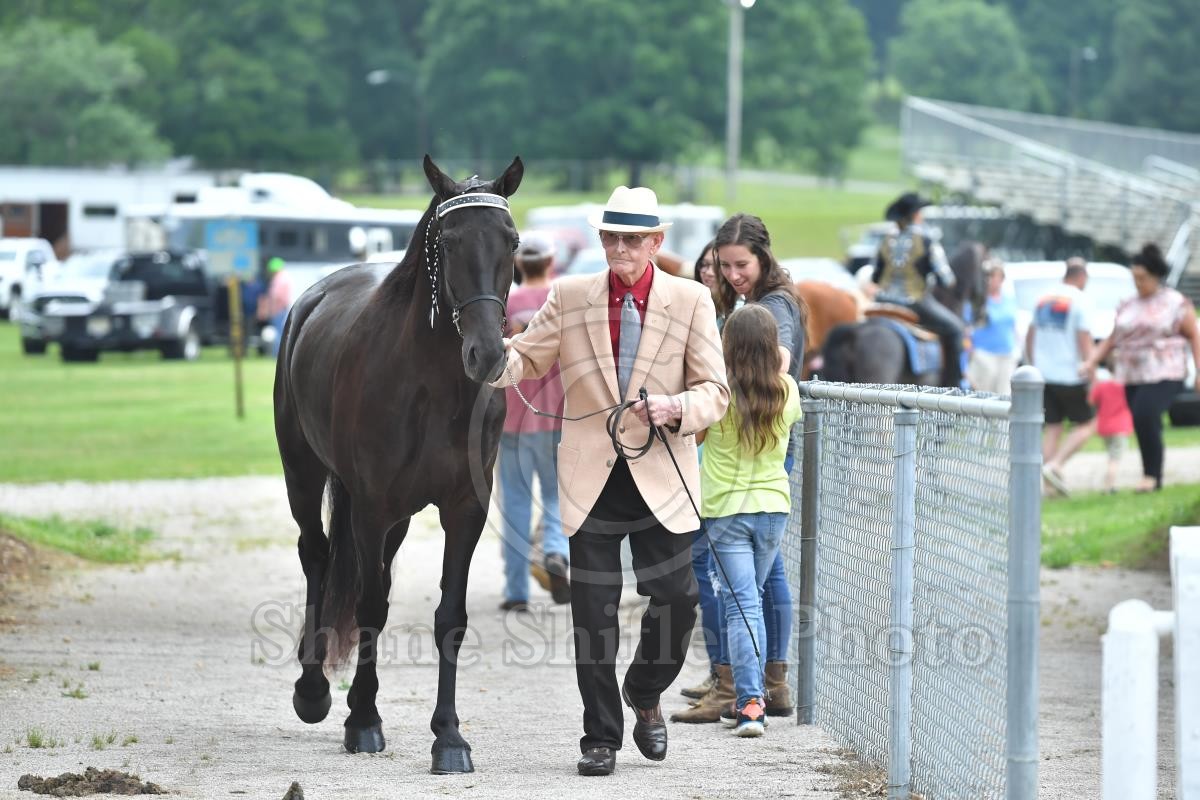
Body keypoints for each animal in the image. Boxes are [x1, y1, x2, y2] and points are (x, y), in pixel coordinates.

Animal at [274, 155, 523, 774]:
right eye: (450, 241)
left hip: (400, 519)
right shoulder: (372, 505)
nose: (487, 354)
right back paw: (314, 691)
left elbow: (449, 616)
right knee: (318, 556)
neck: (433, 385)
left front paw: (449, 738)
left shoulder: (464, 509)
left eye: (512, 241)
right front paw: (362, 721)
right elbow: (367, 605)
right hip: (304, 475)